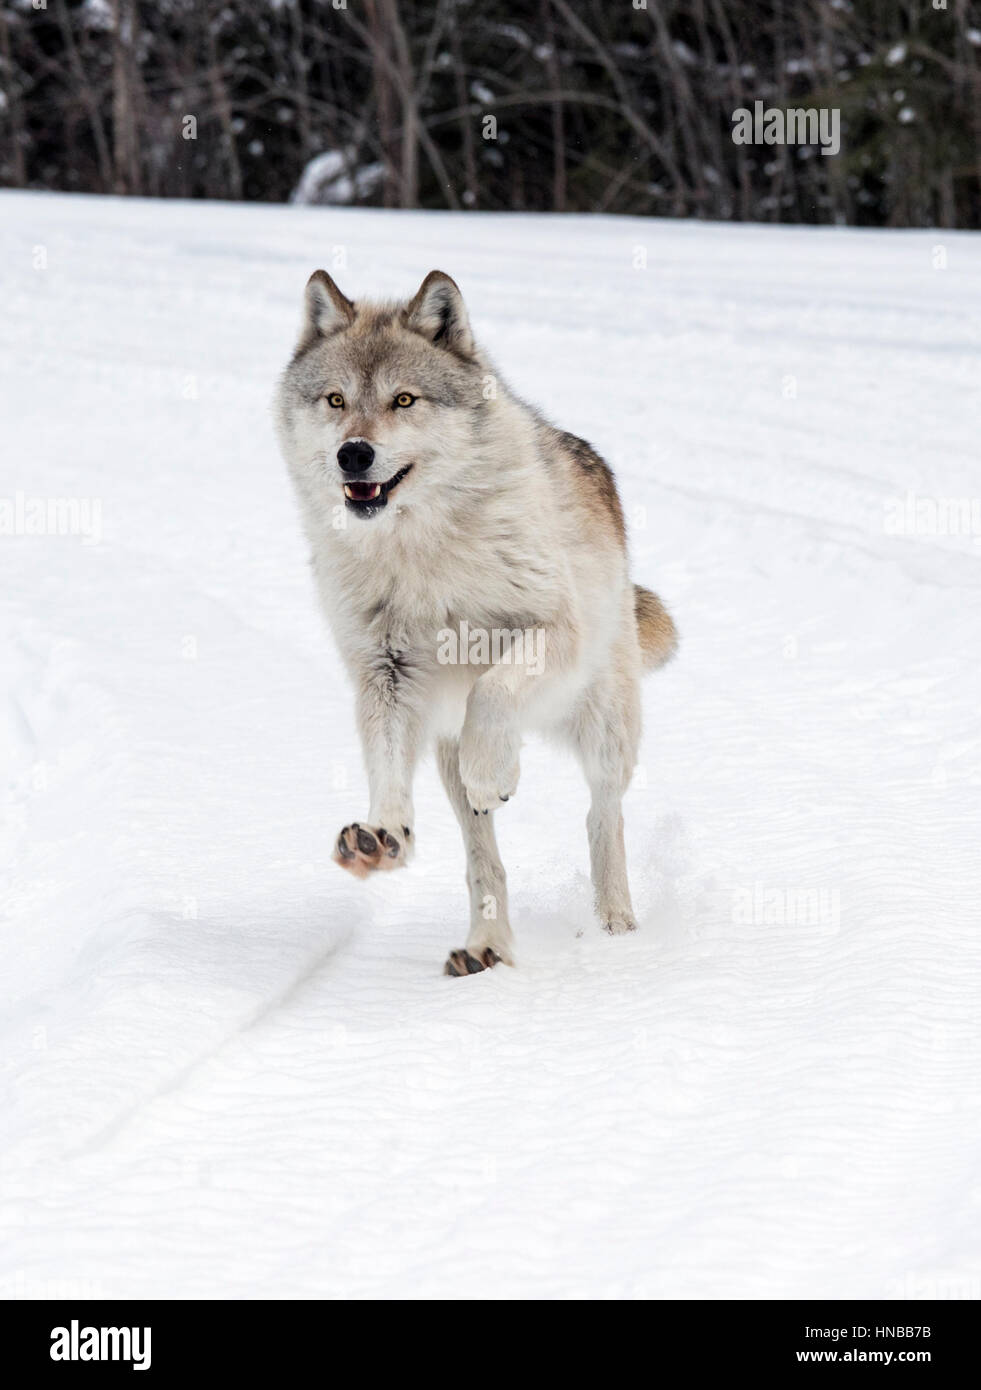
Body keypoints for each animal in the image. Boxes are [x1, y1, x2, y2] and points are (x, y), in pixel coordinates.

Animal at [275, 269, 677, 976]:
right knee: (484, 858)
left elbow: (492, 689)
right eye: (335, 399)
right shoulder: (385, 670)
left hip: (606, 728)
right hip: (446, 757)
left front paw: (497, 771)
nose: (354, 454)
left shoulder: (551, 632)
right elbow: (385, 766)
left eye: (404, 400)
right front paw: (381, 833)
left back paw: (616, 926)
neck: (419, 548)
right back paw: (487, 946)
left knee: (602, 817)